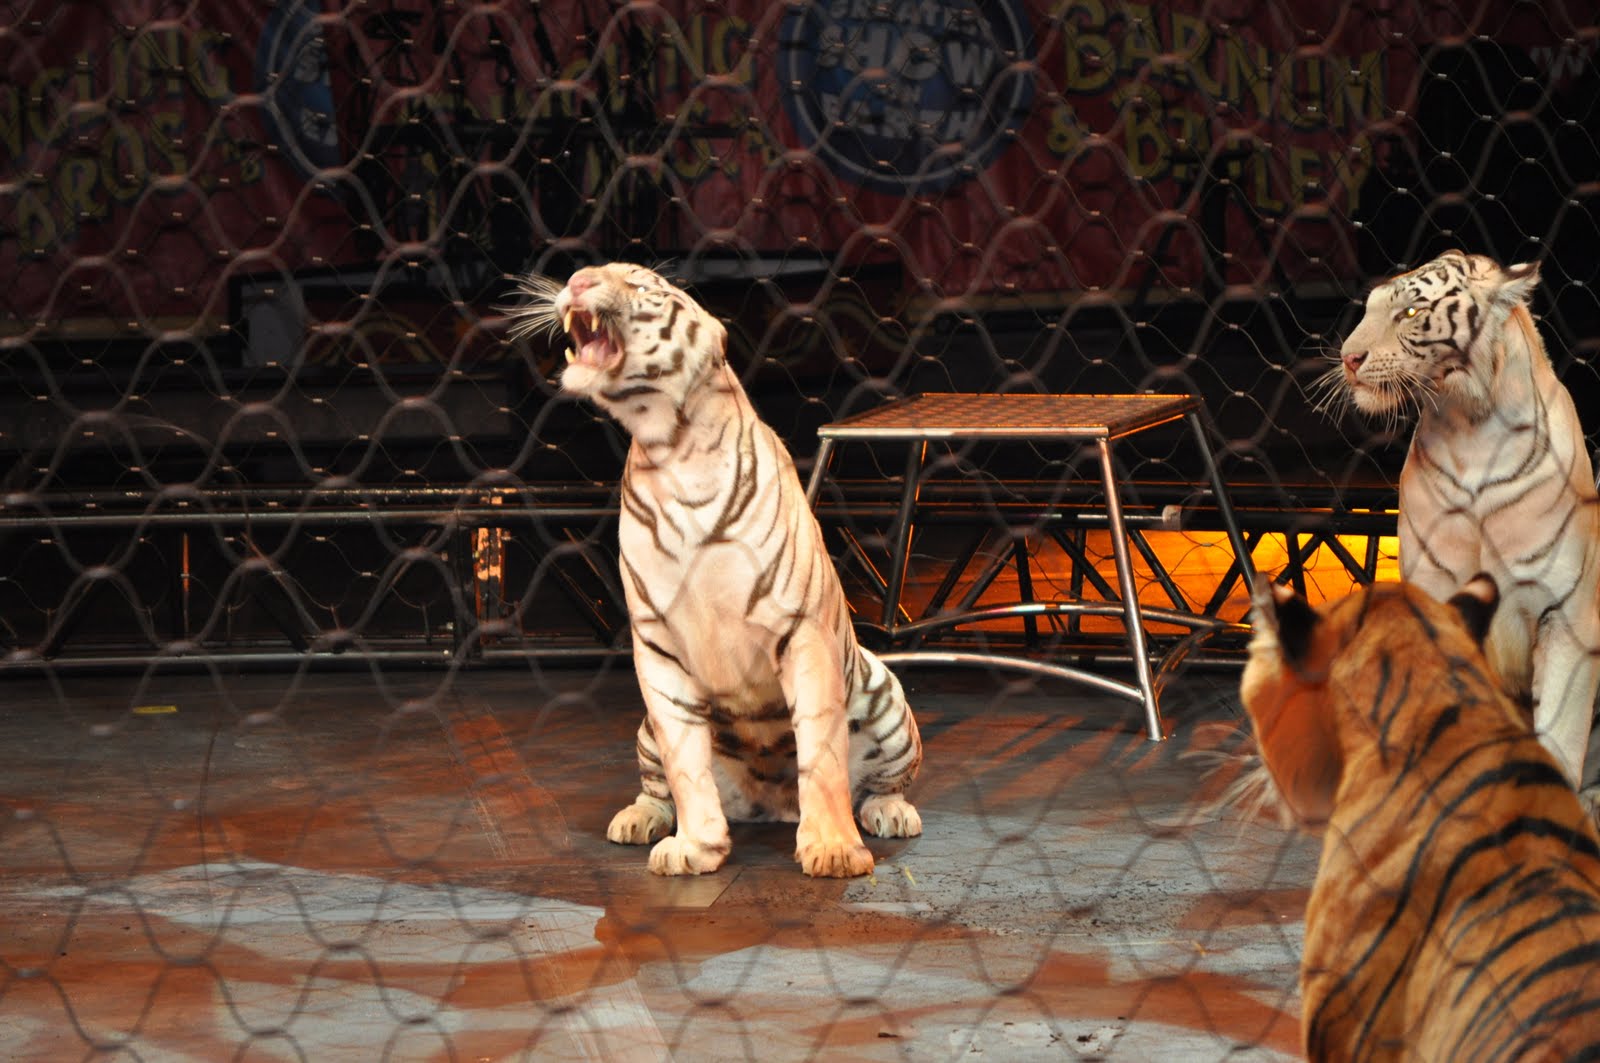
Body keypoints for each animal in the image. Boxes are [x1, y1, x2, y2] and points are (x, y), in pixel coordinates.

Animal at [503, 262, 922, 878]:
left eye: (640, 286)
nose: (577, 281)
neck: (671, 449)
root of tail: (772, 810)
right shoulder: (656, 645)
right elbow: (684, 762)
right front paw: (697, 846)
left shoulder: (801, 629)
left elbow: (821, 752)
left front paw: (833, 849)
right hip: (643, 733)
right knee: (655, 785)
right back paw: (638, 819)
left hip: (885, 696)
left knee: (882, 783)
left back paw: (890, 812)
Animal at [1328, 250, 1600, 808]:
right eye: (1369, 309)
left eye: (1410, 313)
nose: (1348, 358)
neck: (1471, 427)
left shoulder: (1566, 612)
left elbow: (1560, 733)